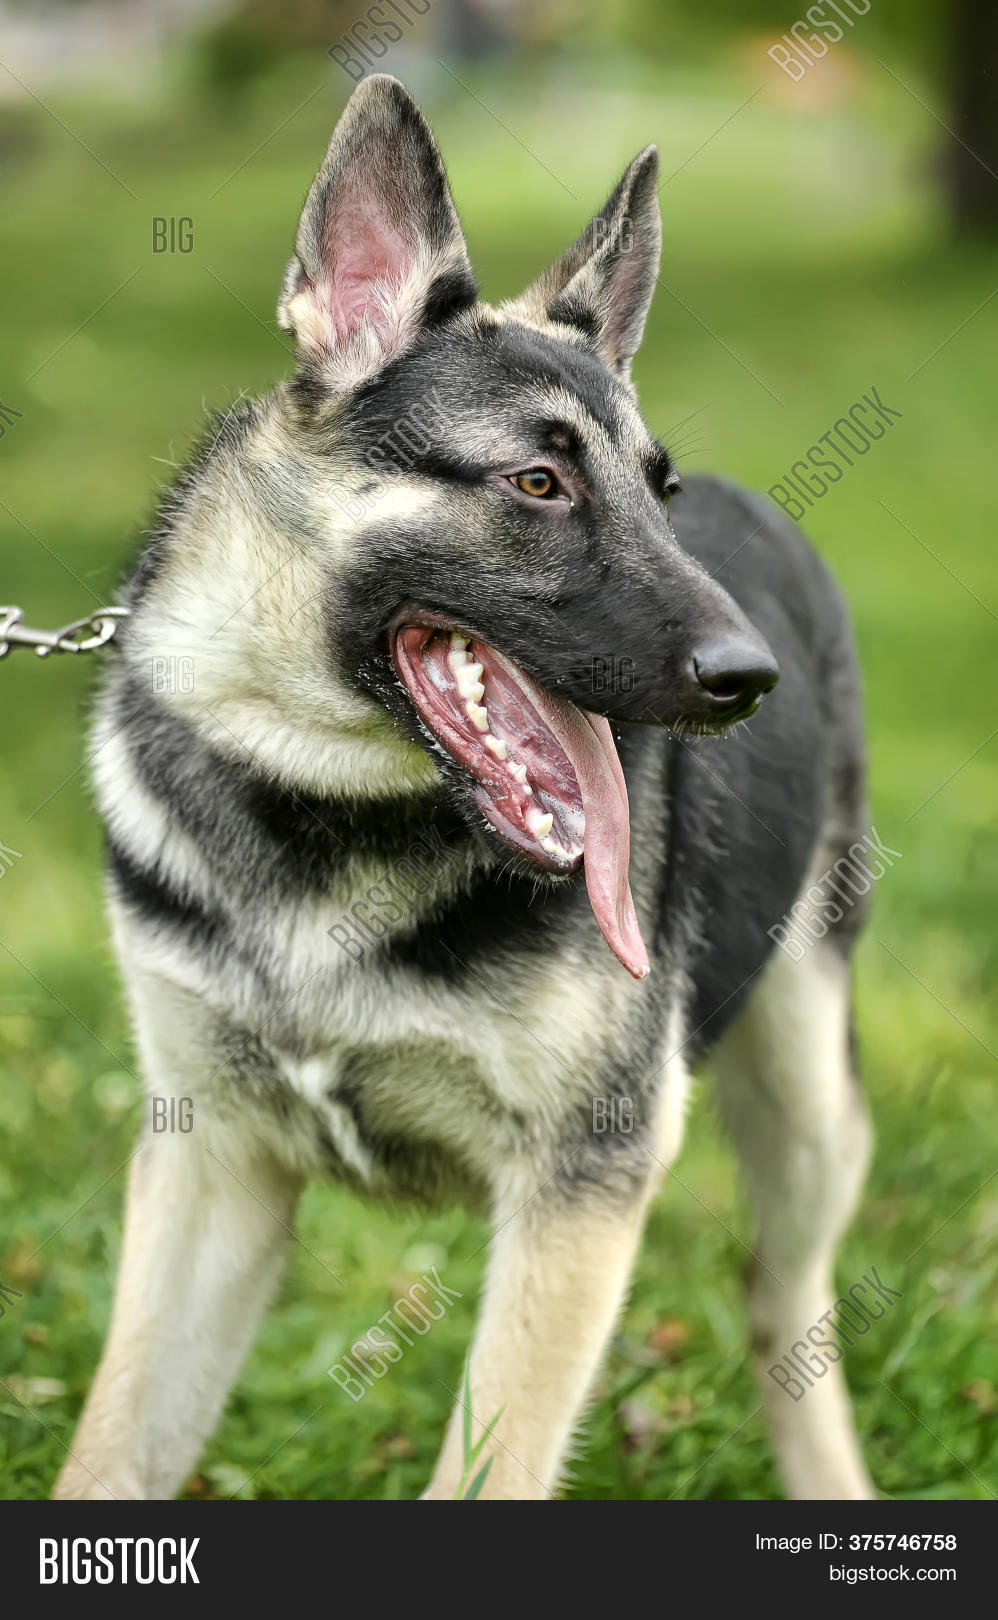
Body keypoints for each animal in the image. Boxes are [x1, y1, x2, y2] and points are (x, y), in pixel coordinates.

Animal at [55, 74, 874, 1501]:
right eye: (535, 482)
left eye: (655, 494)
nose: (748, 678)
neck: (324, 807)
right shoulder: (206, 1179)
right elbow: (110, 1455)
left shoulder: (578, 1192)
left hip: (809, 1105)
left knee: (782, 1300)